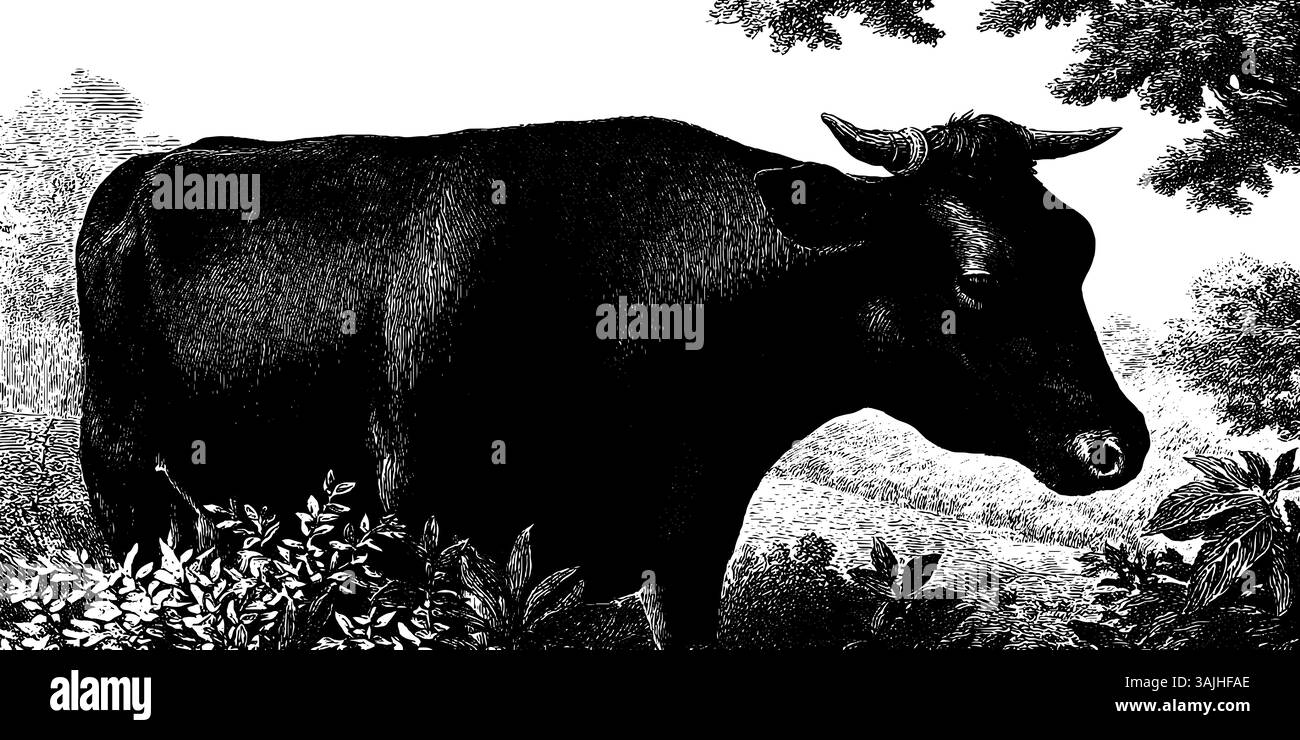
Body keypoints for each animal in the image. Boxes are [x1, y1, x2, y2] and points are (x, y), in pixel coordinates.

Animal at [76, 112, 1149, 647]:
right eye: (977, 282)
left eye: (1084, 250)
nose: (1118, 443)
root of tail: (150, 168)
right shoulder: (435, 524)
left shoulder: (690, 538)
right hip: (125, 488)